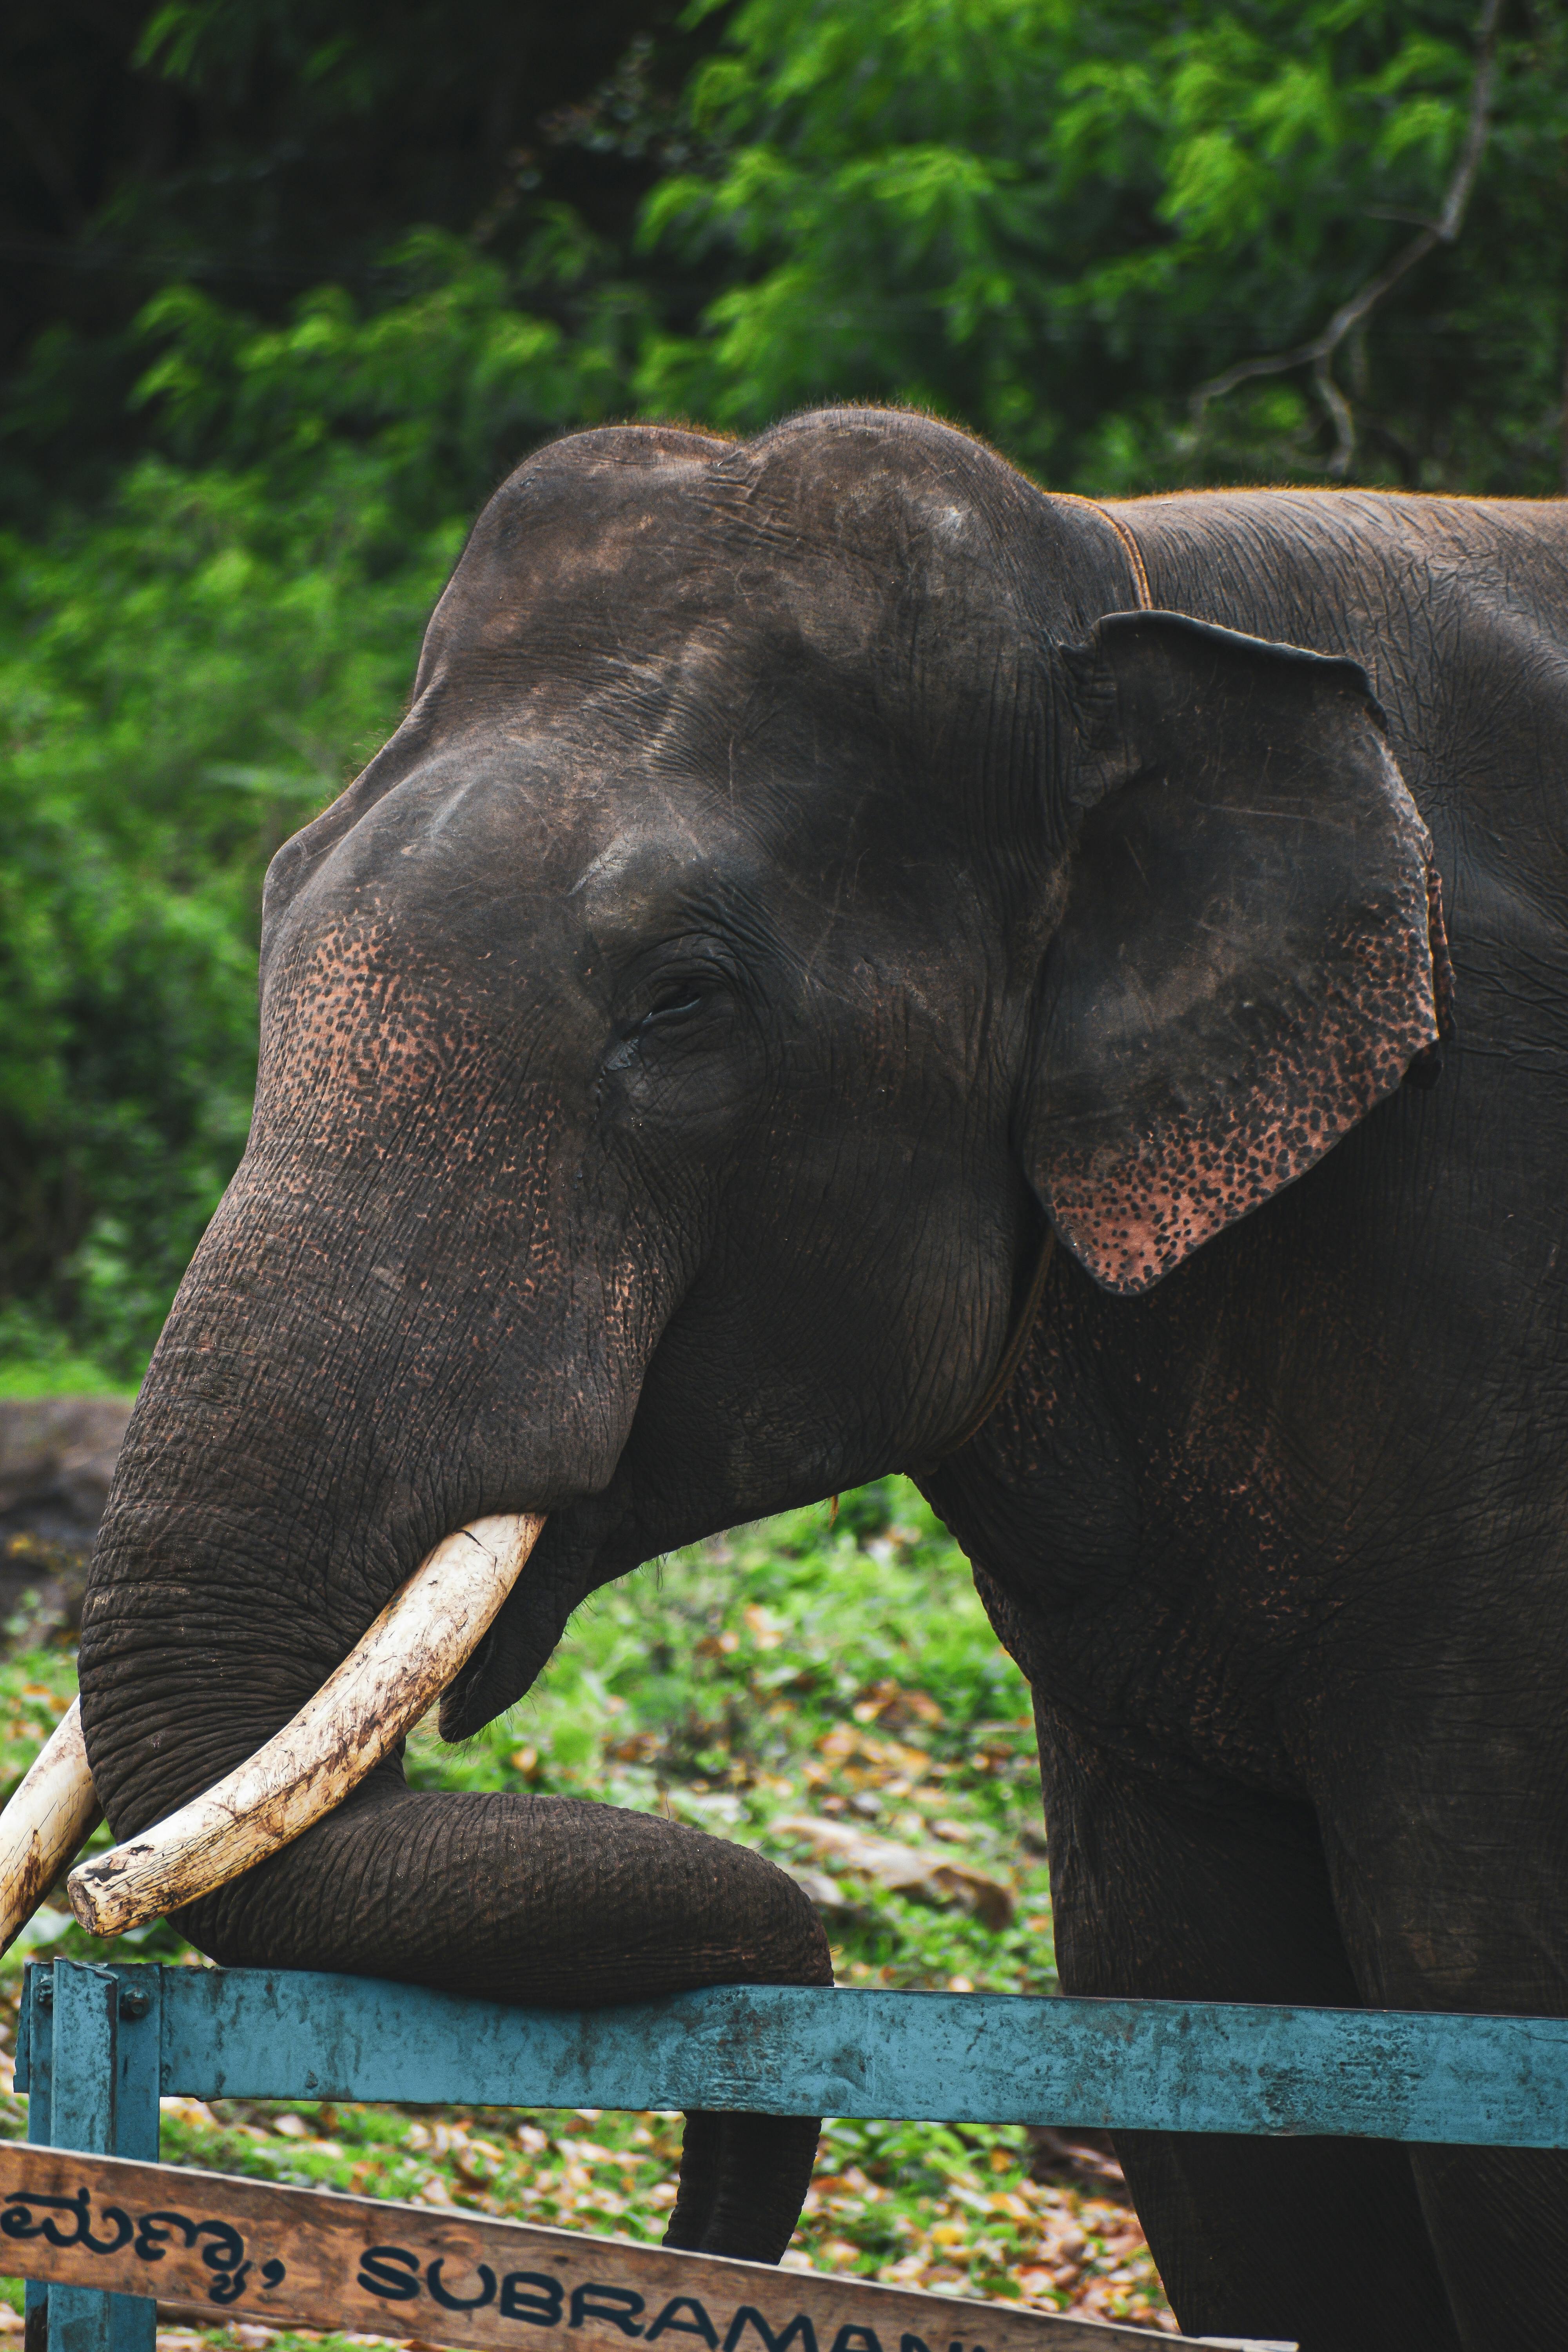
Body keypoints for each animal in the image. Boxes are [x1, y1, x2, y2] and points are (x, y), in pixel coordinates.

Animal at [77, 405, 1568, 2351]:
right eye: (272, 902)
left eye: (681, 997)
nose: (93, 1891)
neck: (1121, 571)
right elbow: (1217, 2070)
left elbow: (1478, 2005)